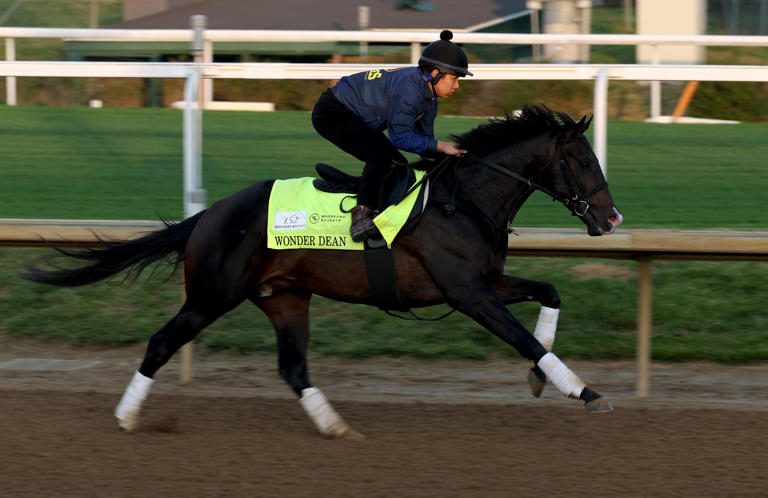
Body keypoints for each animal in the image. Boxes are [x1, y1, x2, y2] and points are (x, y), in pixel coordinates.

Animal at [20, 105, 623, 439]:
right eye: (583, 161)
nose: (613, 218)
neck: (464, 200)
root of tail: (209, 215)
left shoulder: (488, 284)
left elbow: (551, 293)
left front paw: (542, 379)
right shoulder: (468, 293)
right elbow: (526, 340)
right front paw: (581, 389)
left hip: (284, 297)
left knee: (292, 367)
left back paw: (337, 427)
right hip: (211, 295)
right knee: (161, 343)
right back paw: (126, 417)